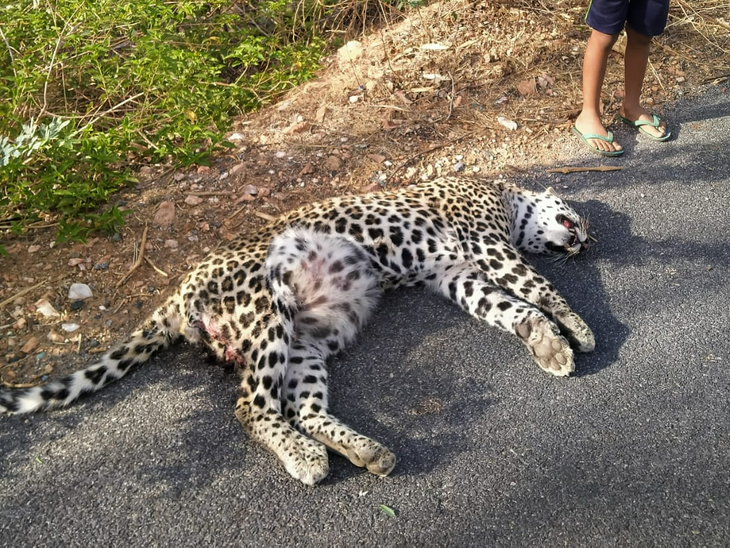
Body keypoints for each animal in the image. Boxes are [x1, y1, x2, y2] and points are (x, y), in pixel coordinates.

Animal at [0, 176, 595, 485]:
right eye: (578, 218)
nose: (584, 243)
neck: (505, 196)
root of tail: (176, 289)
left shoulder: (458, 275)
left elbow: (512, 308)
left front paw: (546, 343)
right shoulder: (487, 247)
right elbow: (541, 289)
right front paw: (578, 330)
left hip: (307, 344)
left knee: (302, 409)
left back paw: (365, 452)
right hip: (269, 313)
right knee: (253, 407)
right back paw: (307, 460)